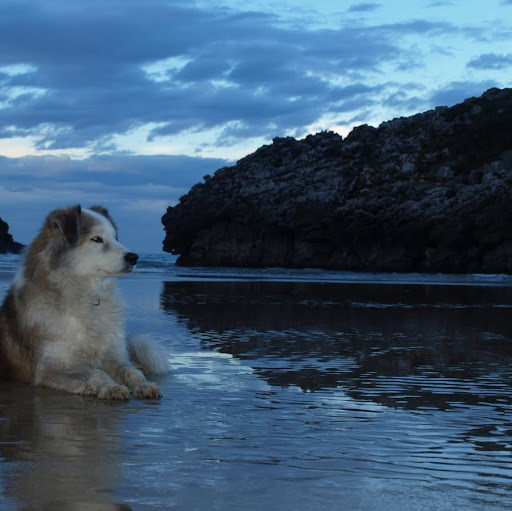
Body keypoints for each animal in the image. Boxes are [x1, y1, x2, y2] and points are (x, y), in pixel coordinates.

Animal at [0, 204, 168, 400]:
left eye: (115, 237)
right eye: (96, 239)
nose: (134, 257)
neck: (89, 297)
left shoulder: (112, 355)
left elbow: (131, 371)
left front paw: (144, 385)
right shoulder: (49, 369)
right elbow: (95, 373)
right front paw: (111, 387)